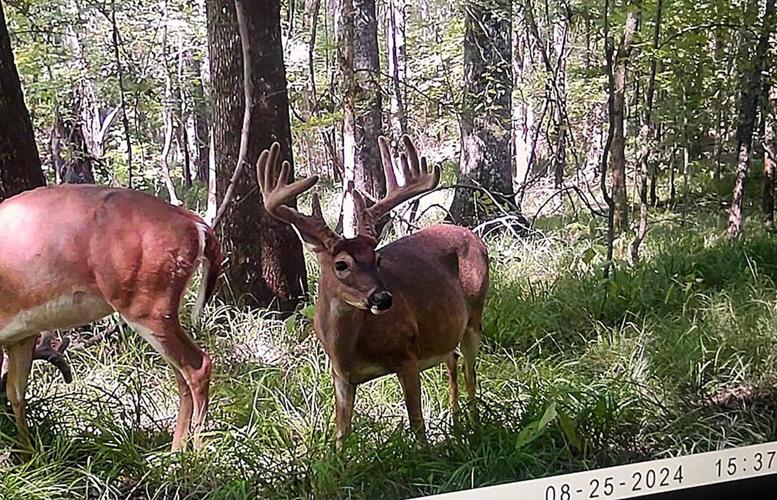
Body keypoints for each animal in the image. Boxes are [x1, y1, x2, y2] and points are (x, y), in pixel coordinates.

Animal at [0, 184, 221, 453]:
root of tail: (196, 224)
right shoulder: (21, 336)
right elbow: (15, 392)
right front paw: (30, 456)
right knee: (182, 374)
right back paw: (176, 451)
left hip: (145, 304)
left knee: (198, 366)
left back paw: (197, 453)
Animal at [257, 136, 489, 448]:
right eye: (341, 264)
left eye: (377, 258)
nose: (383, 298)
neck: (349, 349)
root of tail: (474, 235)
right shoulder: (340, 376)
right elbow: (341, 434)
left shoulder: (407, 355)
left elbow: (417, 425)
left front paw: (427, 453)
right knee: (452, 359)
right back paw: (455, 422)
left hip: (475, 314)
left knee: (469, 370)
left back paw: (474, 425)